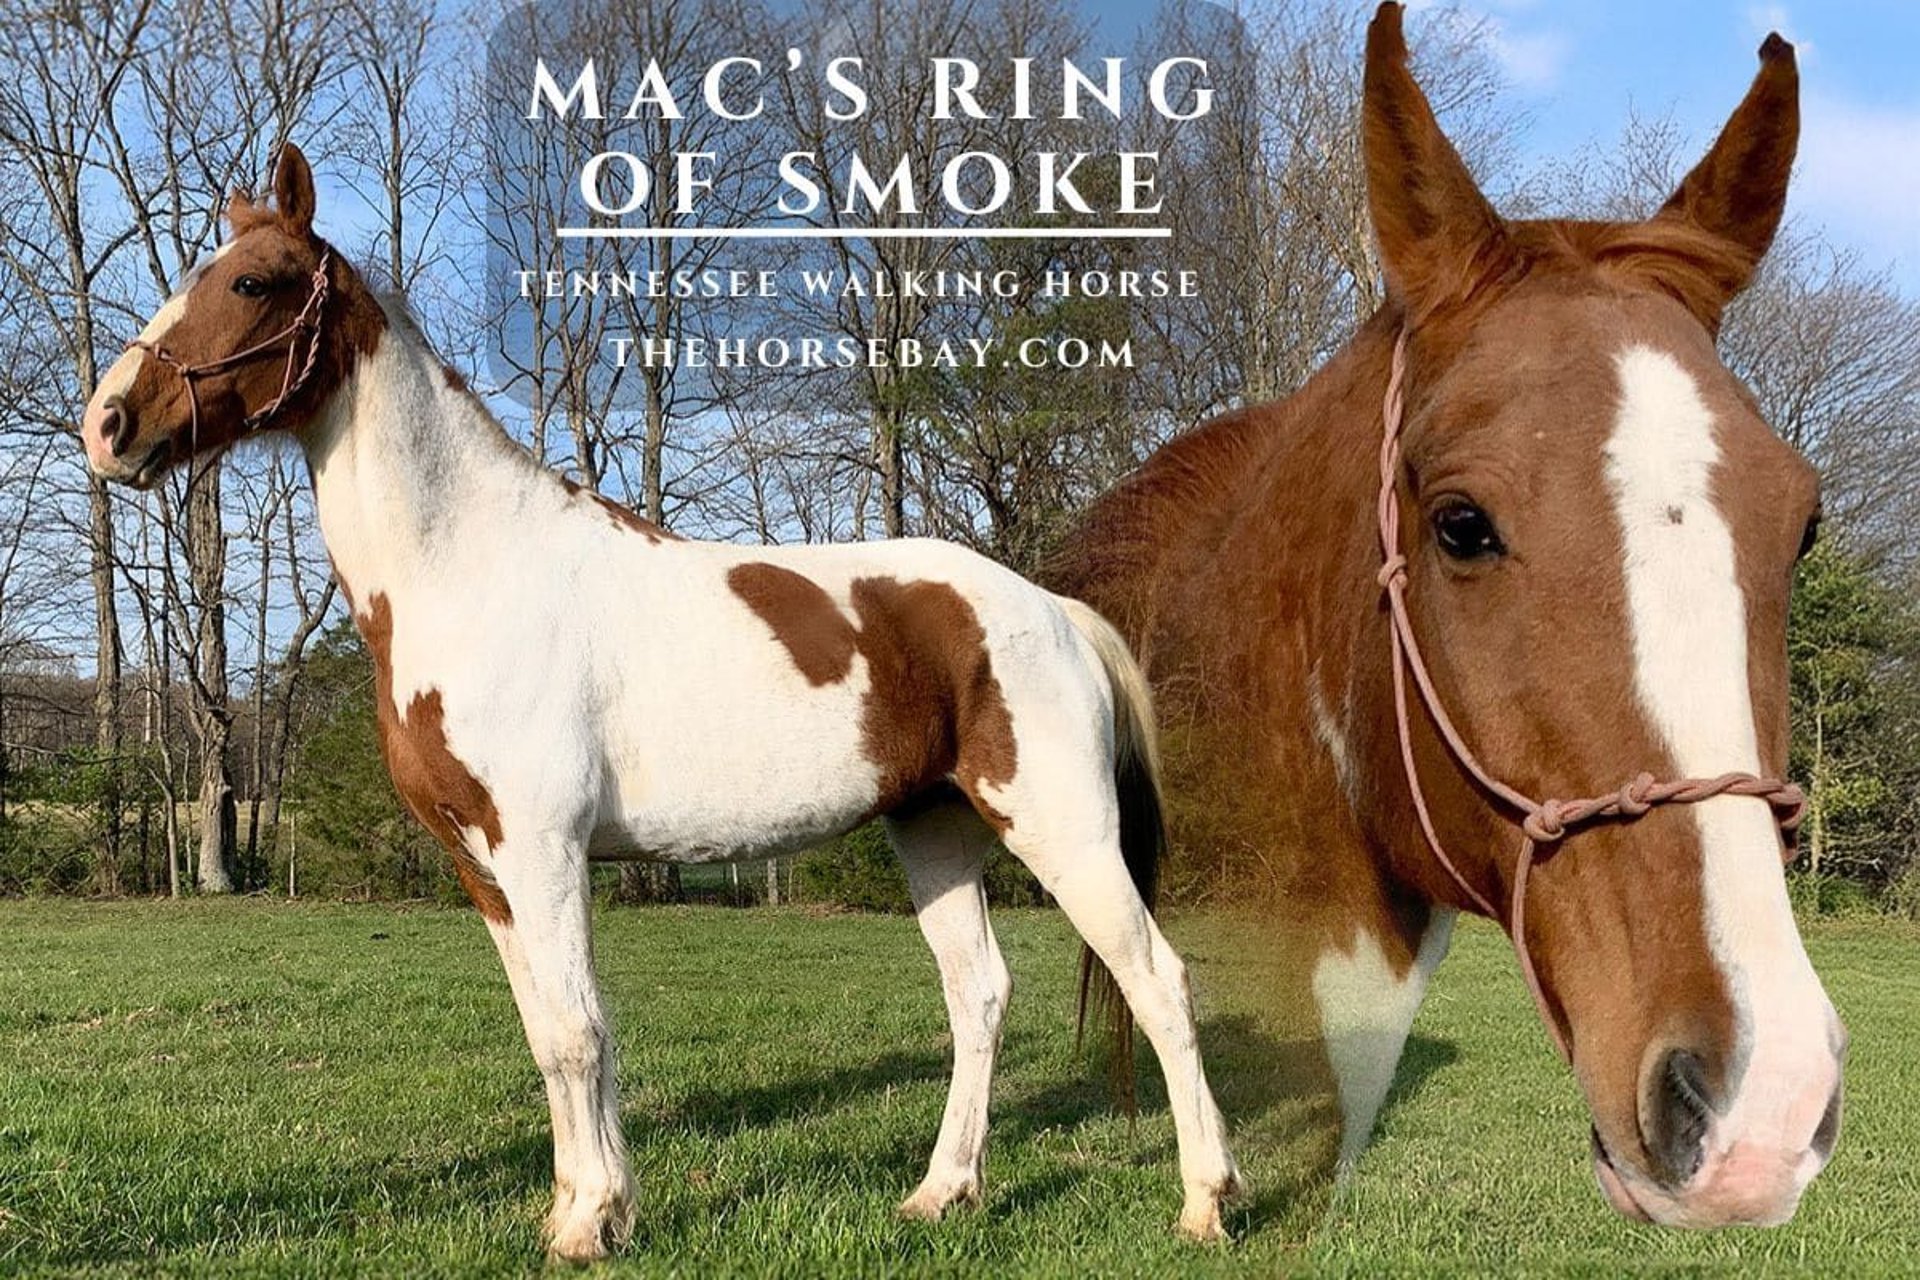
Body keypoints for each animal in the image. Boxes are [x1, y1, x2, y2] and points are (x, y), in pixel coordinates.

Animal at [78, 144, 1241, 1260]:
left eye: (252, 280)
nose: (109, 423)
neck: (471, 568)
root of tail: (1054, 609)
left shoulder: (543, 849)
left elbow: (579, 1031)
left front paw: (590, 1222)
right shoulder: (482, 867)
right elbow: (547, 1035)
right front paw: (576, 1208)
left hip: (1063, 831)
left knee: (1161, 981)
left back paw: (1206, 1202)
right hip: (936, 830)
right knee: (980, 995)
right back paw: (940, 1193)